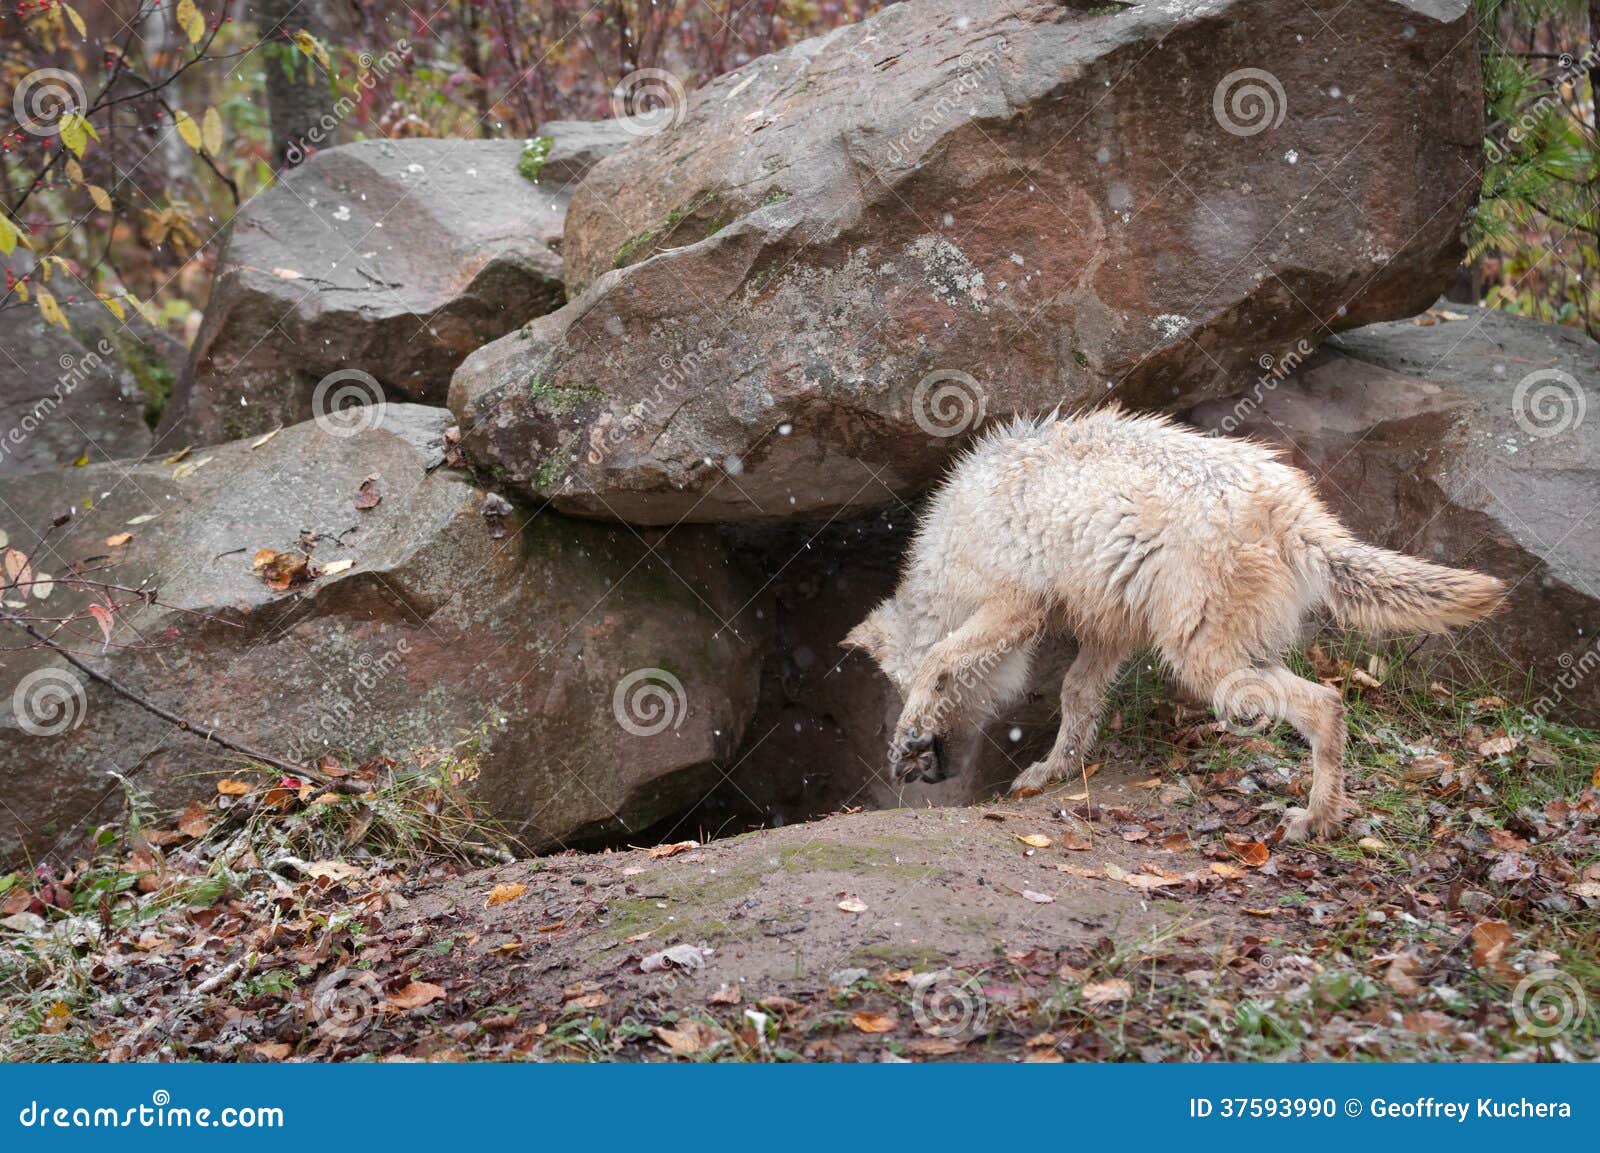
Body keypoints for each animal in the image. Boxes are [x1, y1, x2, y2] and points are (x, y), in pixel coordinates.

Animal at [842, 407, 1505, 840]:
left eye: (929, 702)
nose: (932, 774)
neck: (952, 548)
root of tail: (1293, 511)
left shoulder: (1016, 607)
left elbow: (939, 656)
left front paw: (906, 735)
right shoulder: (1107, 630)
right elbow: (1077, 698)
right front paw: (1055, 771)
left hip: (1206, 663)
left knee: (1325, 703)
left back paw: (1313, 820)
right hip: (1226, 655)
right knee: (1327, 703)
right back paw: (1325, 815)